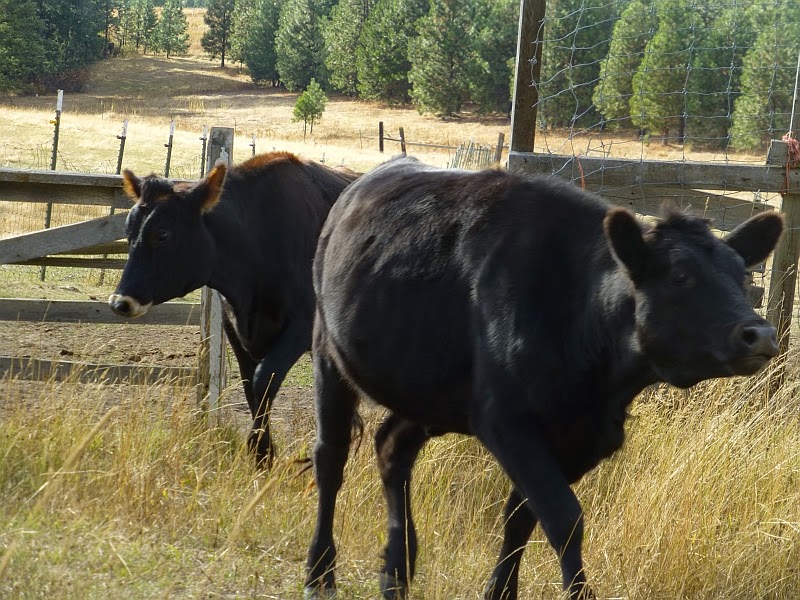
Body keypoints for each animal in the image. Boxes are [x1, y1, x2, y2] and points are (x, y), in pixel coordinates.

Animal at [108, 152, 359, 468]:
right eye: (128, 232)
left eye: (162, 234)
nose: (121, 302)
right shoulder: (235, 328)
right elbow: (251, 386)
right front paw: (263, 456)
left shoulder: (303, 326)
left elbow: (264, 380)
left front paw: (259, 450)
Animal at [303, 156, 783, 599]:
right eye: (681, 276)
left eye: (742, 275)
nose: (759, 333)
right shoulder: (506, 421)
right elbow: (565, 519)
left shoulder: (580, 436)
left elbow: (522, 518)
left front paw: (499, 591)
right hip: (327, 350)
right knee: (330, 458)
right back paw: (320, 573)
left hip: (427, 393)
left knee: (391, 448)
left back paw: (395, 573)